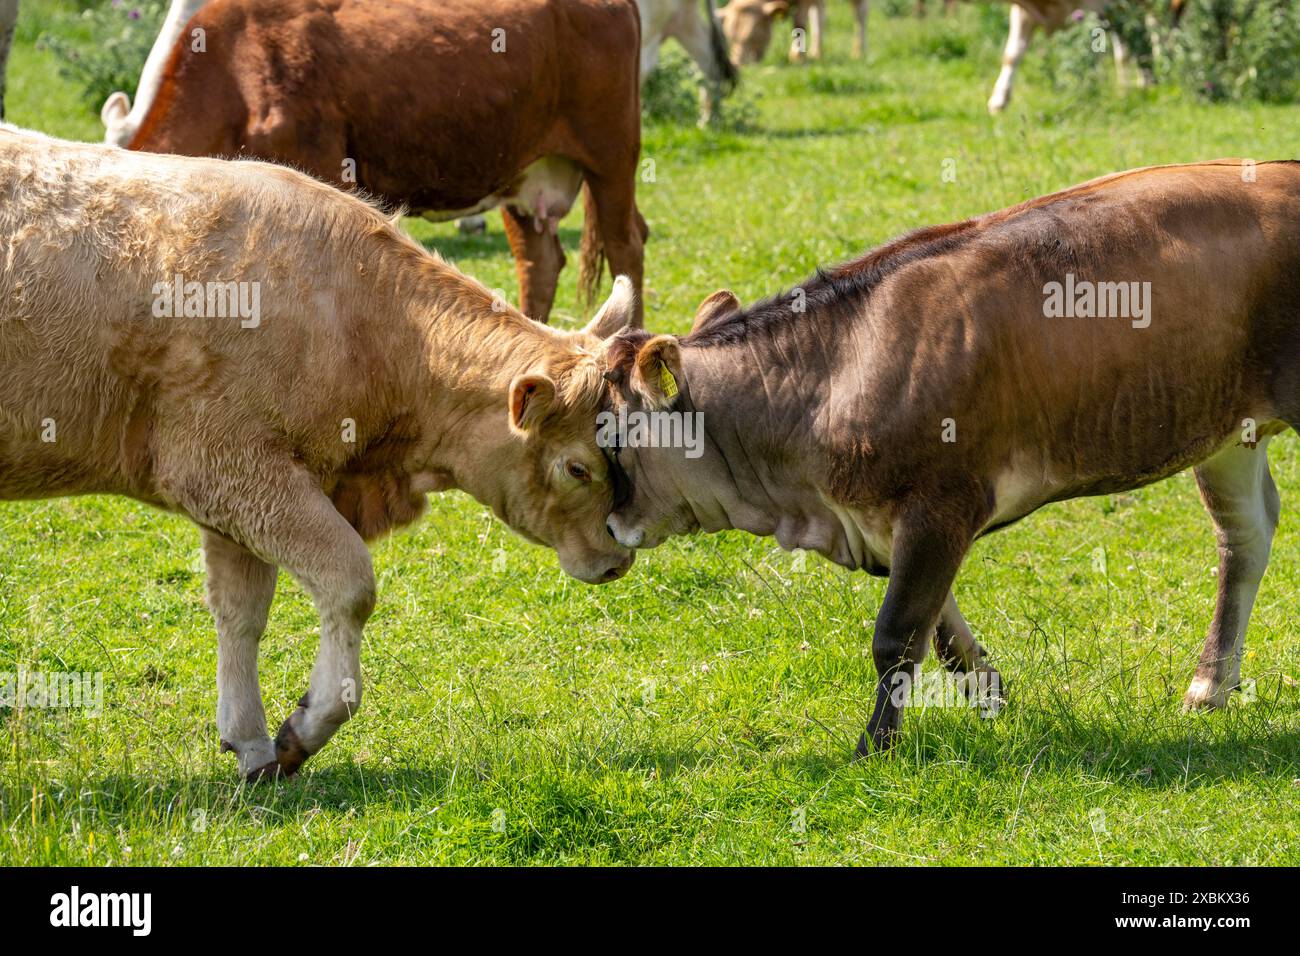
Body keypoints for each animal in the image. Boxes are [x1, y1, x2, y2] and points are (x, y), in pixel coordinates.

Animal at [0, 125, 636, 779]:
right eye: (578, 467)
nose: (618, 558)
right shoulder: (230, 468)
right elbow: (350, 583)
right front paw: (307, 726)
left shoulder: (236, 501)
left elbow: (241, 612)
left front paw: (250, 744)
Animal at [594, 160, 1300, 757]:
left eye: (612, 435)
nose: (611, 524)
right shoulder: (895, 524)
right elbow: (942, 632)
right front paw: (990, 692)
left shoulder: (942, 502)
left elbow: (898, 633)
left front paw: (874, 749)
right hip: (1225, 428)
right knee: (1243, 537)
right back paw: (1209, 687)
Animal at [718, 0, 869, 65]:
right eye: (729, 37)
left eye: (753, 34)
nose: (738, 63)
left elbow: (799, 23)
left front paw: (797, 57)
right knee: (818, 15)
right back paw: (816, 53)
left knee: (860, 13)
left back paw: (859, 52)